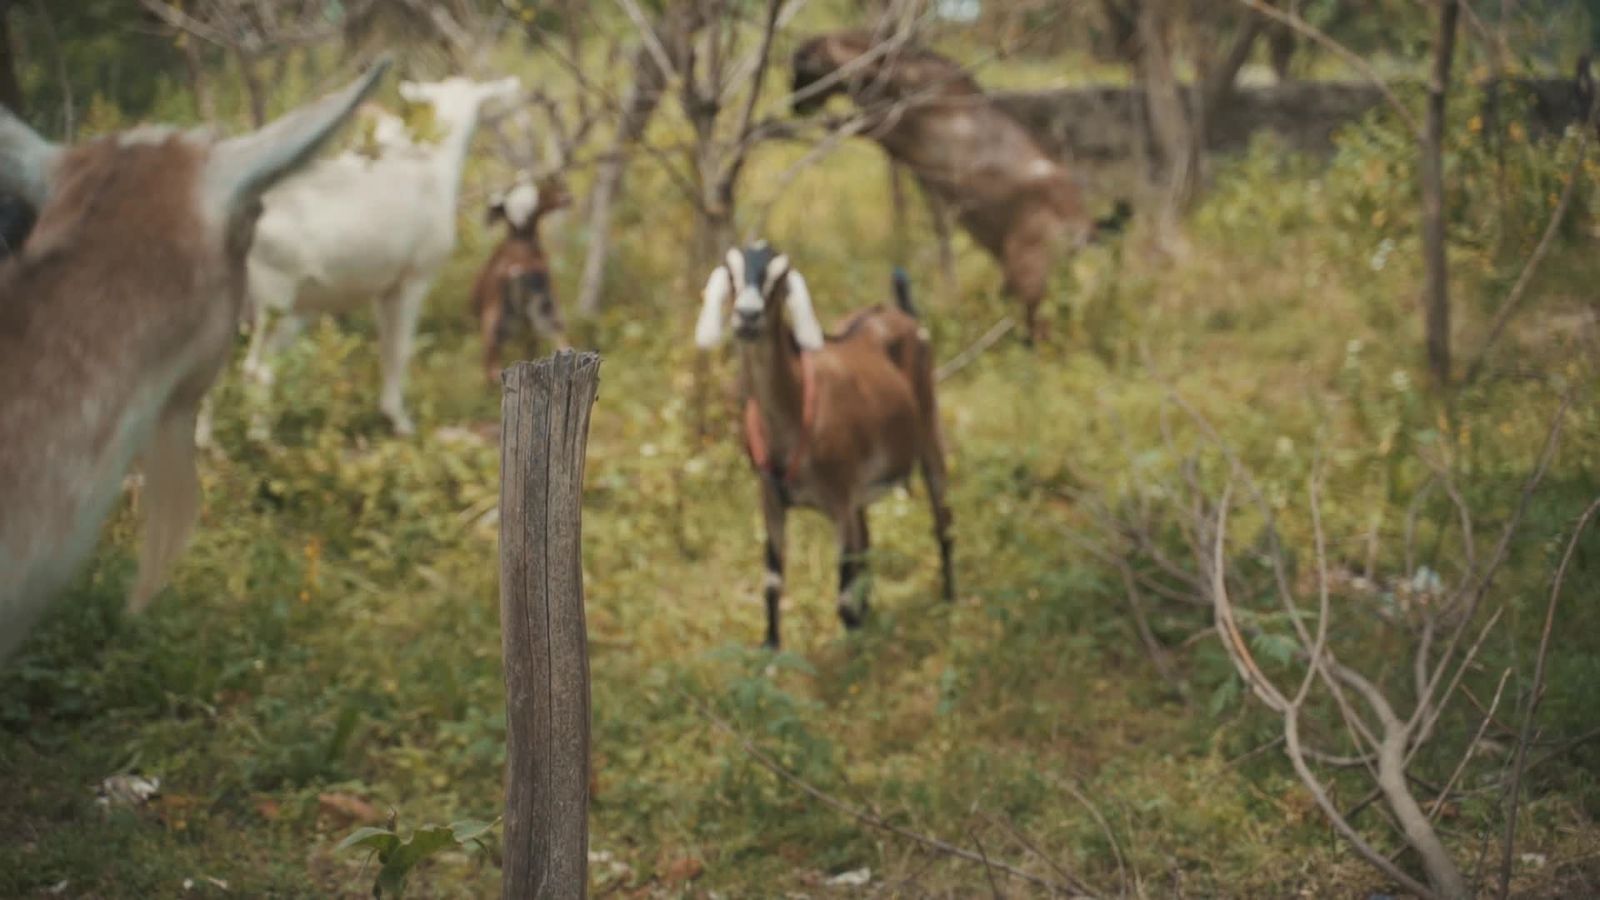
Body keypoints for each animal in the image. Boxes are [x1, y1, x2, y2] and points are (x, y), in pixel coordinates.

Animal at [239, 75, 522, 436]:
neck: (432, 163)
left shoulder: (383, 286)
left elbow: (386, 347)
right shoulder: (414, 277)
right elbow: (400, 348)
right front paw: (400, 422)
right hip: (274, 293)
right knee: (254, 368)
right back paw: (258, 436)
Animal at [696, 242, 954, 648]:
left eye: (778, 279)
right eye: (733, 274)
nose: (748, 316)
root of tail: (898, 312)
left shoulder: (840, 498)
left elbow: (844, 597)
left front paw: (857, 654)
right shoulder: (770, 498)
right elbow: (772, 582)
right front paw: (770, 650)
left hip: (929, 427)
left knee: (943, 521)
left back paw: (950, 601)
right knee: (866, 545)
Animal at [791, 30, 1130, 343]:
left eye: (801, 66)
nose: (795, 106)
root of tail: (1085, 222)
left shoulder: (895, 125)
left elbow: (858, 123)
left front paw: (827, 121)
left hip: (1027, 268)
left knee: (1040, 326)